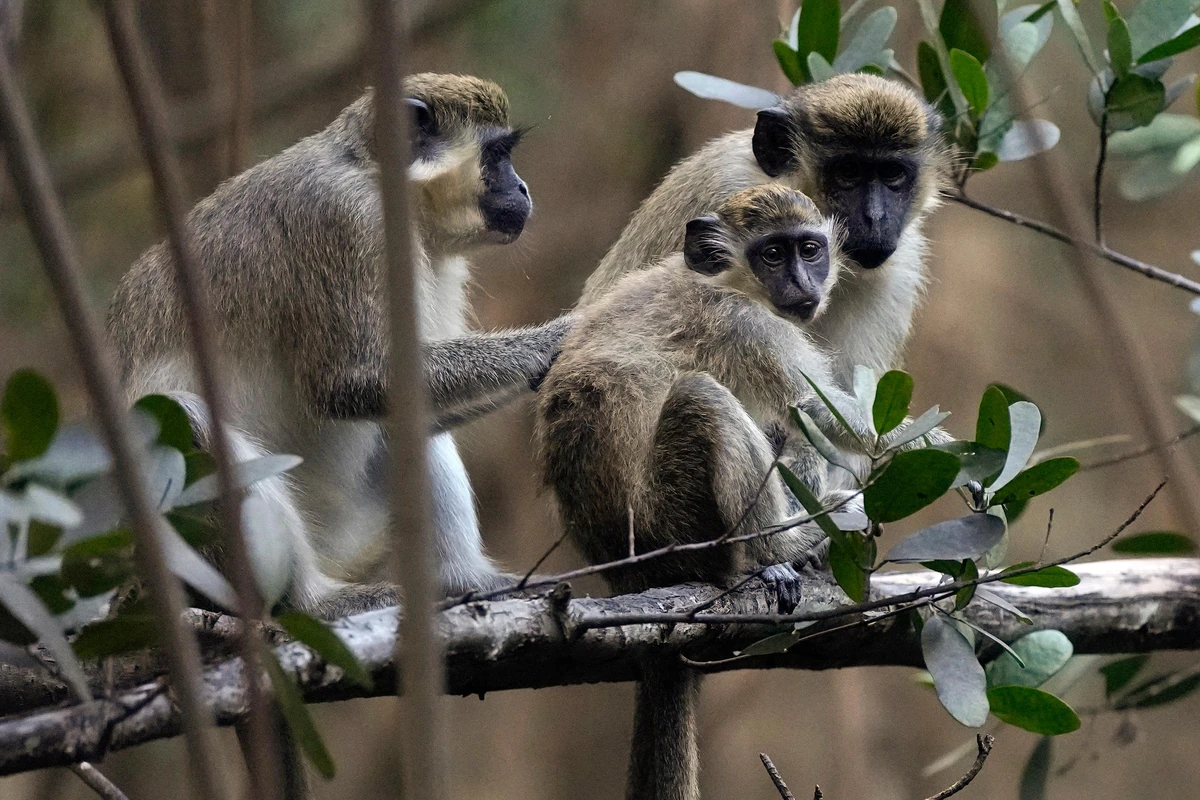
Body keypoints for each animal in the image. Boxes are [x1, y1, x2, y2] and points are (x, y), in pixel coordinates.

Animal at [107, 74, 570, 616]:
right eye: (497, 155)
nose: (523, 188)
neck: (377, 177)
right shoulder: (345, 221)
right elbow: (352, 383)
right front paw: (557, 336)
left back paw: (464, 580)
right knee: (185, 414)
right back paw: (312, 601)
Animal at [536, 185, 888, 800]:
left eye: (810, 249)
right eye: (772, 254)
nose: (804, 283)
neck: (727, 282)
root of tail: (631, 574)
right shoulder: (746, 328)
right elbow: (821, 411)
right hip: (677, 522)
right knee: (706, 395)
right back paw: (781, 553)